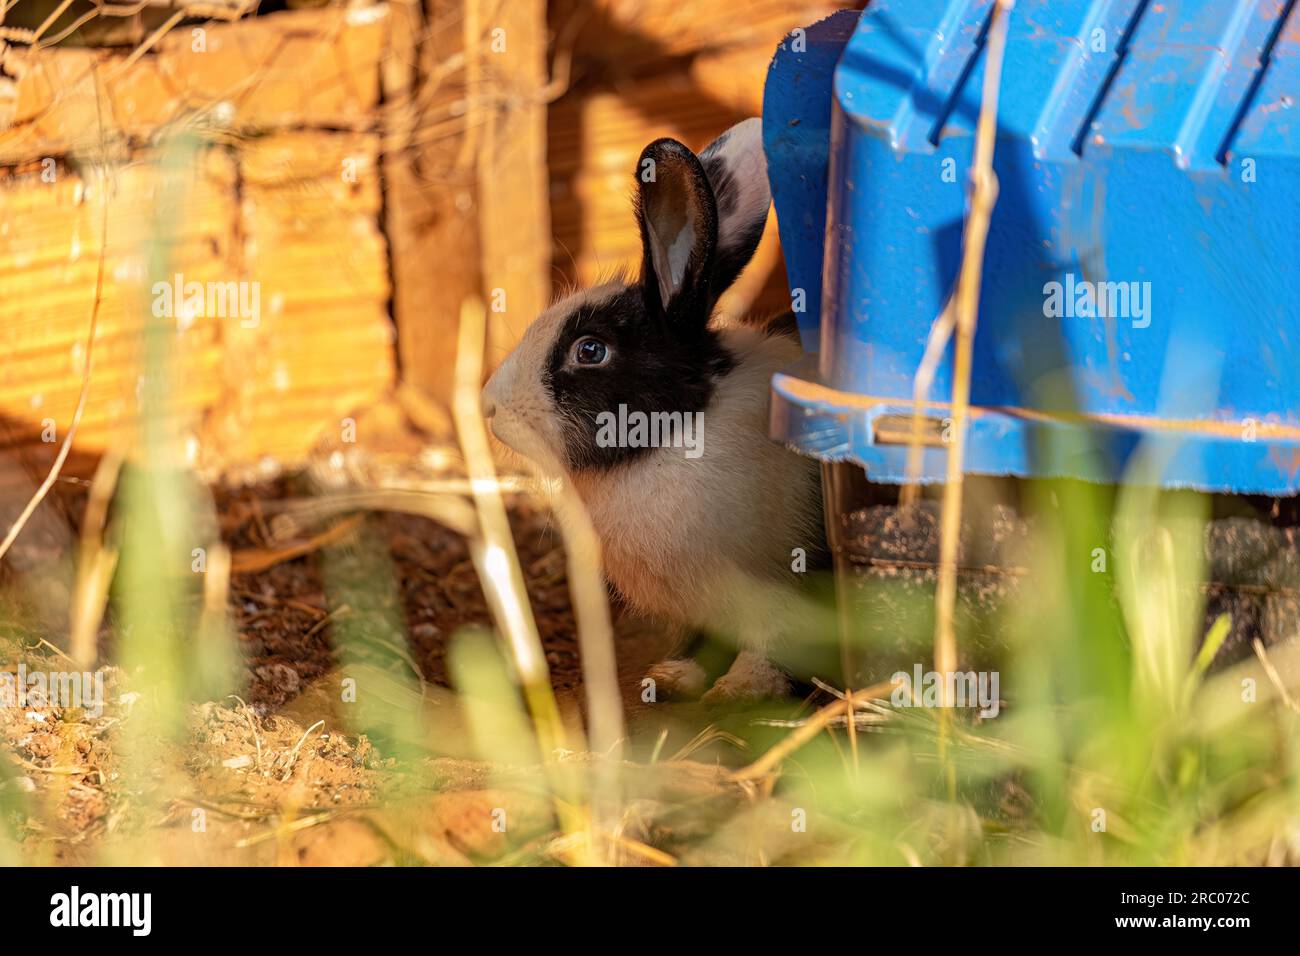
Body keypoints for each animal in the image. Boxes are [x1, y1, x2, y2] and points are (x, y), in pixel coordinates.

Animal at [481, 118, 823, 703]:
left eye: (590, 350)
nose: (489, 405)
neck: (678, 434)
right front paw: (674, 676)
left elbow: (772, 646)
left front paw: (740, 690)